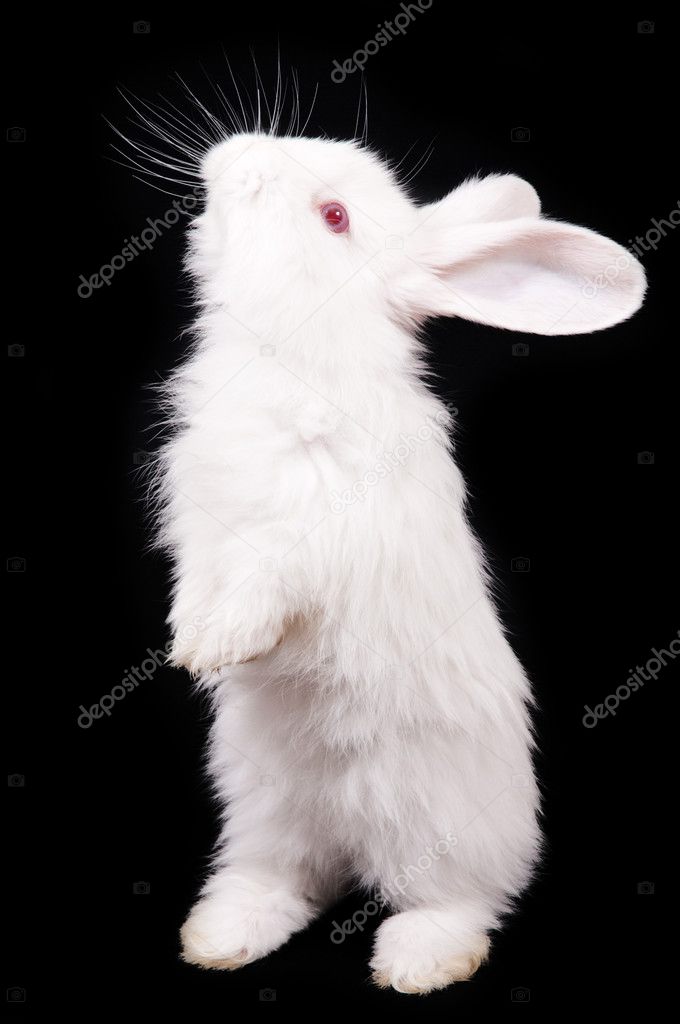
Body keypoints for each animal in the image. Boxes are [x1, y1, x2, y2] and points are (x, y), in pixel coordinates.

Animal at [152, 127, 645, 993]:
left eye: (335, 216)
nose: (237, 151)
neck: (299, 352)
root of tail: (350, 837)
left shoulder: (317, 532)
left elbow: (269, 578)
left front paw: (223, 644)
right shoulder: (200, 528)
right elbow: (200, 580)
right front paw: (192, 641)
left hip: (439, 827)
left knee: (459, 898)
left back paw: (420, 963)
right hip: (262, 811)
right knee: (284, 879)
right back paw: (221, 935)